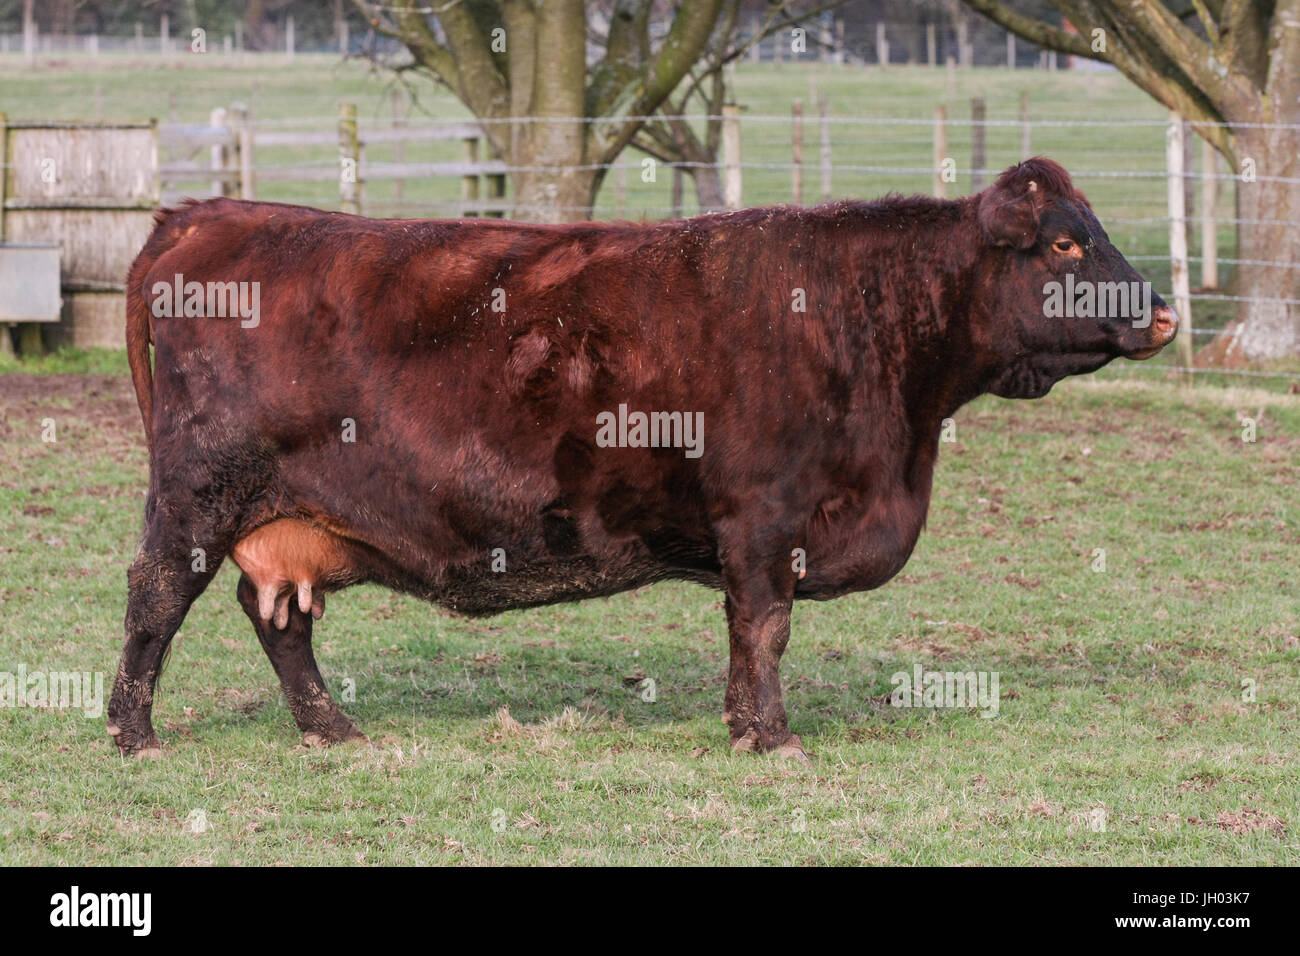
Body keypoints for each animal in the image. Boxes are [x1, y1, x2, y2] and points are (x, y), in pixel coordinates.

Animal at [108, 157, 1177, 760]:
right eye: (1066, 246)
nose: (1163, 311)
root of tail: (204, 214)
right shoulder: (762, 517)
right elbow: (764, 628)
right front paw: (771, 739)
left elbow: (750, 634)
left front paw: (745, 728)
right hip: (197, 495)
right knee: (155, 598)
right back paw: (134, 736)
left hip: (281, 518)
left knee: (276, 617)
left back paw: (331, 731)